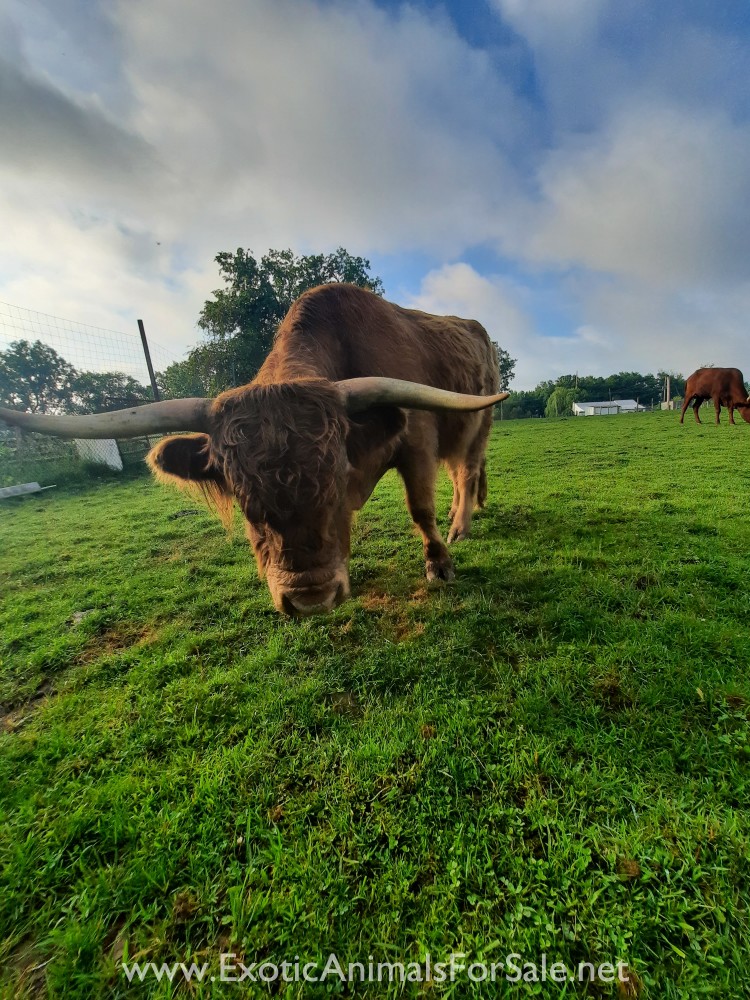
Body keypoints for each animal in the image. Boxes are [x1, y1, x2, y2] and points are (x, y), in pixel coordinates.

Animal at [0, 284, 508, 615]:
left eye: (336, 489)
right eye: (246, 507)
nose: (309, 599)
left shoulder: (417, 443)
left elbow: (420, 509)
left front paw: (439, 565)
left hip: (477, 423)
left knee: (467, 470)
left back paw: (460, 524)